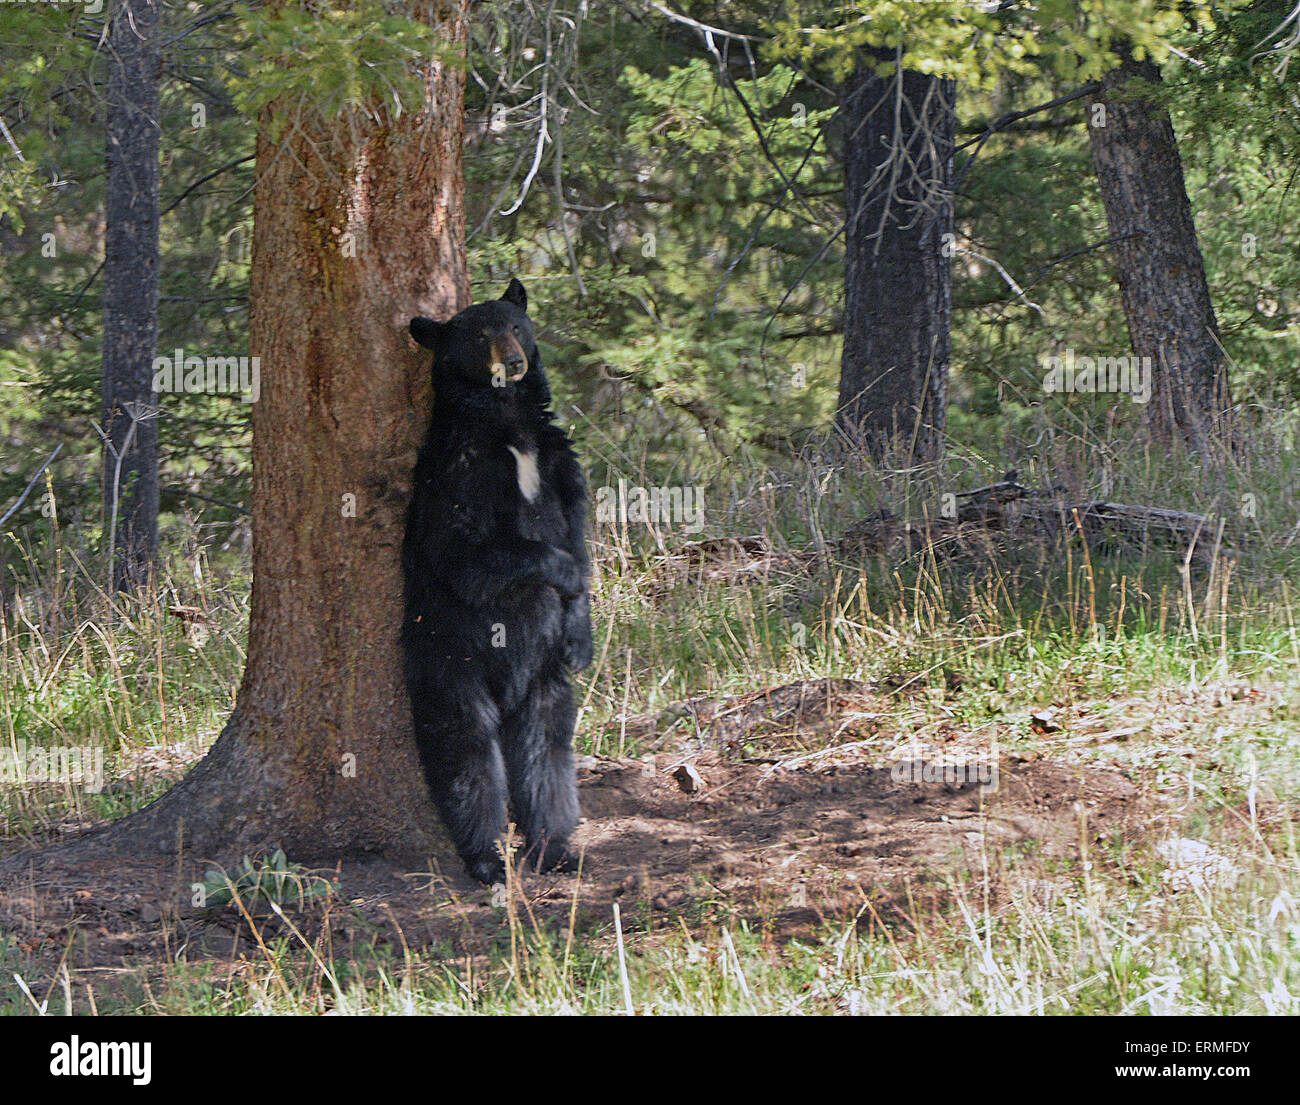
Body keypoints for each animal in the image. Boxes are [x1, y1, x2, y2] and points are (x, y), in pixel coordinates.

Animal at [403, 278, 593, 885]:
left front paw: (582, 631)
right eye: (478, 334)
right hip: (447, 659)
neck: (508, 424)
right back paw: (487, 855)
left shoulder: (560, 461)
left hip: (545, 679)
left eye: (514, 325)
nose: (511, 361)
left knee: (546, 745)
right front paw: (564, 571)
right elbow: (472, 553)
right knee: (466, 749)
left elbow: (578, 531)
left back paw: (554, 845)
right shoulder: (459, 469)